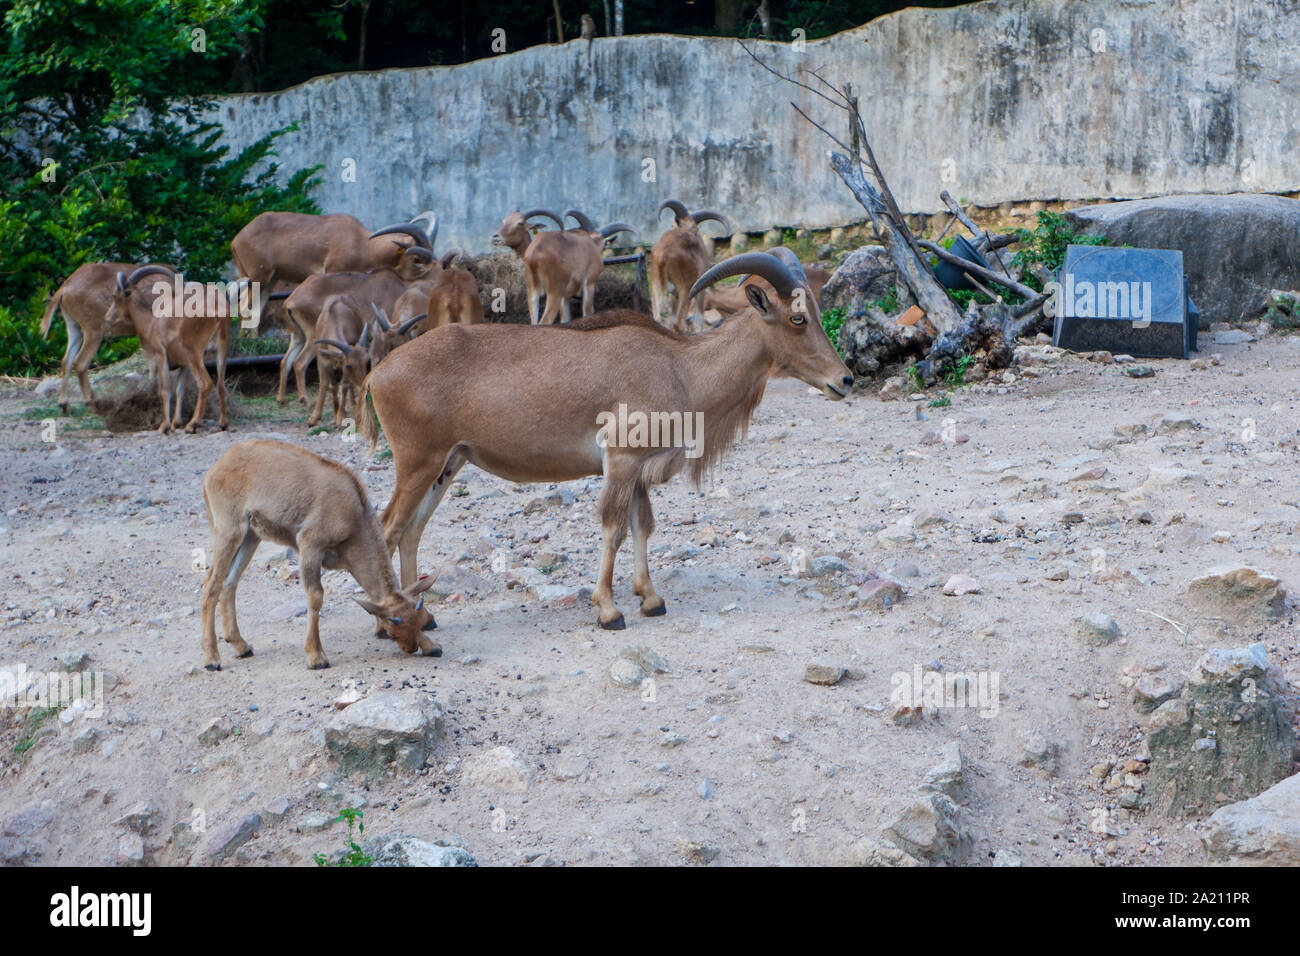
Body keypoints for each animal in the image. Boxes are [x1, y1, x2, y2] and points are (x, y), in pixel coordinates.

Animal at [40, 261, 175, 414]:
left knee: (66, 361)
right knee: (80, 363)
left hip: (74, 328)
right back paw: (91, 401)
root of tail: (65, 288)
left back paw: (65, 405)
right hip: (94, 331)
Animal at [105, 266, 234, 434]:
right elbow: (180, 390)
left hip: (194, 353)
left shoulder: (161, 356)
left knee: (205, 383)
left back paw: (193, 424)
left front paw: (164, 426)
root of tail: (219, 313)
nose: (108, 318)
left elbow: (165, 390)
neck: (151, 322)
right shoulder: (184, 365)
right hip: (221, 351)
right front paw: (175, 423)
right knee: (220, 385)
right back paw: (223, 423)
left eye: (115, 296)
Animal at [200, 439, 438, 670]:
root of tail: (213, 471)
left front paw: (432, 646)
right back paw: (212, 659)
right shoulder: (310, 545)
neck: (352, 515)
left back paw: (241, 646)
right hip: (229, 530)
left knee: (230, 582)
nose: (410, 647)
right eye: (392, 628)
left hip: (251, 536)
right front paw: (317, 657)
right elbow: (315, 596)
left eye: (418, 621)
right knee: (211, 583)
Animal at [355, 250, 853, 633]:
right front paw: (610, 610)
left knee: (412, 530)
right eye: (797, 318)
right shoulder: (621, 459)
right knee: (389, 528)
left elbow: (642, 524)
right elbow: (614, 527)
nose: (845, 380)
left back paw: (424, 615)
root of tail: (377, 373)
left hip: (449, 462)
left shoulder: (639, 470)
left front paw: (651, 599)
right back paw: (387, 623)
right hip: (417, 461)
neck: (680, 369)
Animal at [649, 199, 732, 333]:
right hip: (686, 288)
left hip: (656, 284)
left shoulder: (675, 295)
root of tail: (663, 254)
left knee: (658, 318)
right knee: (678, 323)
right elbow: (697, 320)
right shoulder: (701, 290)